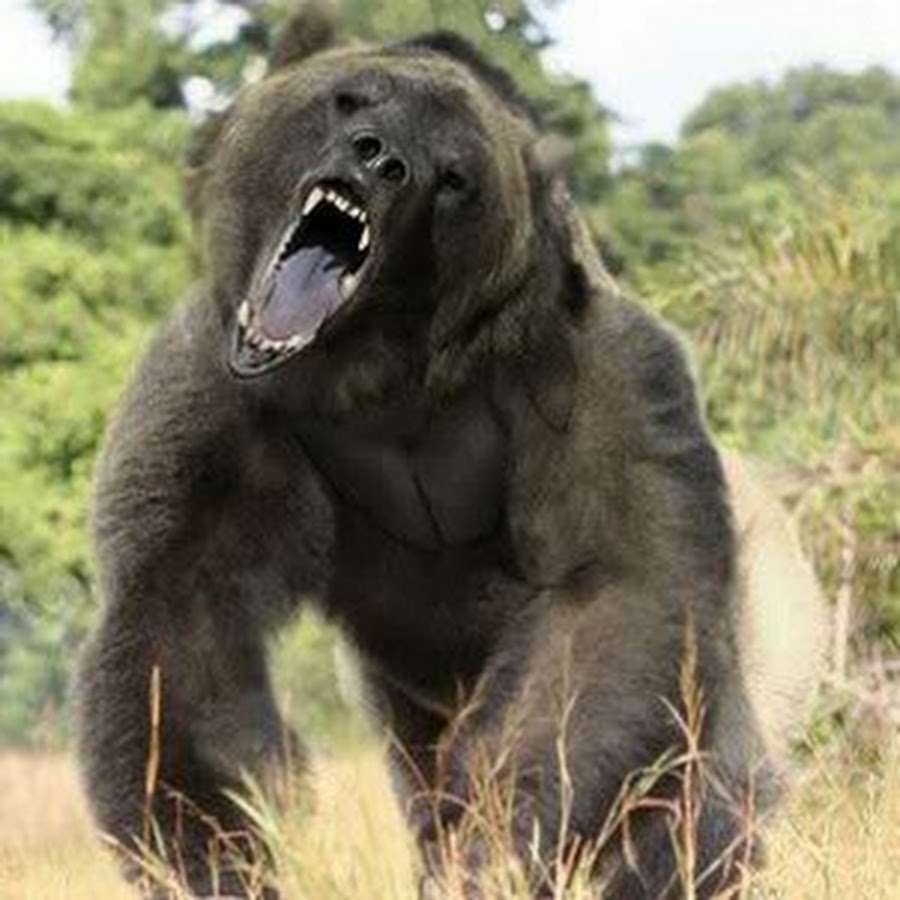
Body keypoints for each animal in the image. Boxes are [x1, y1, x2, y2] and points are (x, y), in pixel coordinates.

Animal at [76, 5, 825, 897]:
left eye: (452, 174)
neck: (389, 361)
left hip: (773, 604)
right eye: (349, 98)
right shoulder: (220, 390)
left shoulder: (605, 375)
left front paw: (500, 845)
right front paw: (217, 849)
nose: (378, 157)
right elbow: (188, 617)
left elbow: (611, 598)